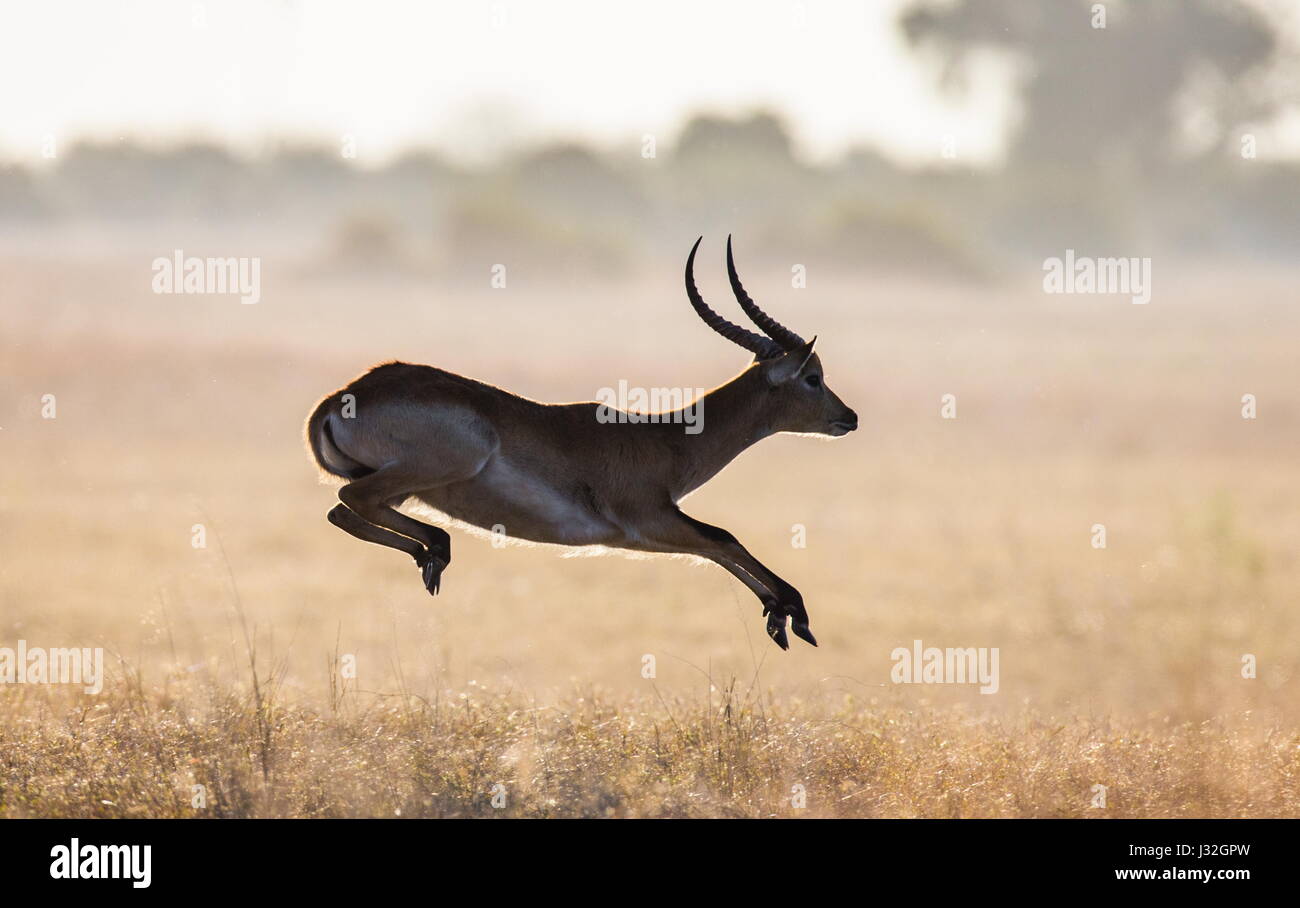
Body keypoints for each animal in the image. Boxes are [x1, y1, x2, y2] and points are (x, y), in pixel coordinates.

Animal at [305, 237, 857, 649]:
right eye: (813, 377)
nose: (848, 418)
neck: (667, 439)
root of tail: (343, 397)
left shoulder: (645, 533)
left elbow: (717, 547)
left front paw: (778, 615)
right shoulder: (647, 521)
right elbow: (723, 538)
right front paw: (792, 614)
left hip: (401, 488)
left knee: (341, 511)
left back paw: (429, 556)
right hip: (436, 468)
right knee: (353, 500)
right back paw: (435, 551)